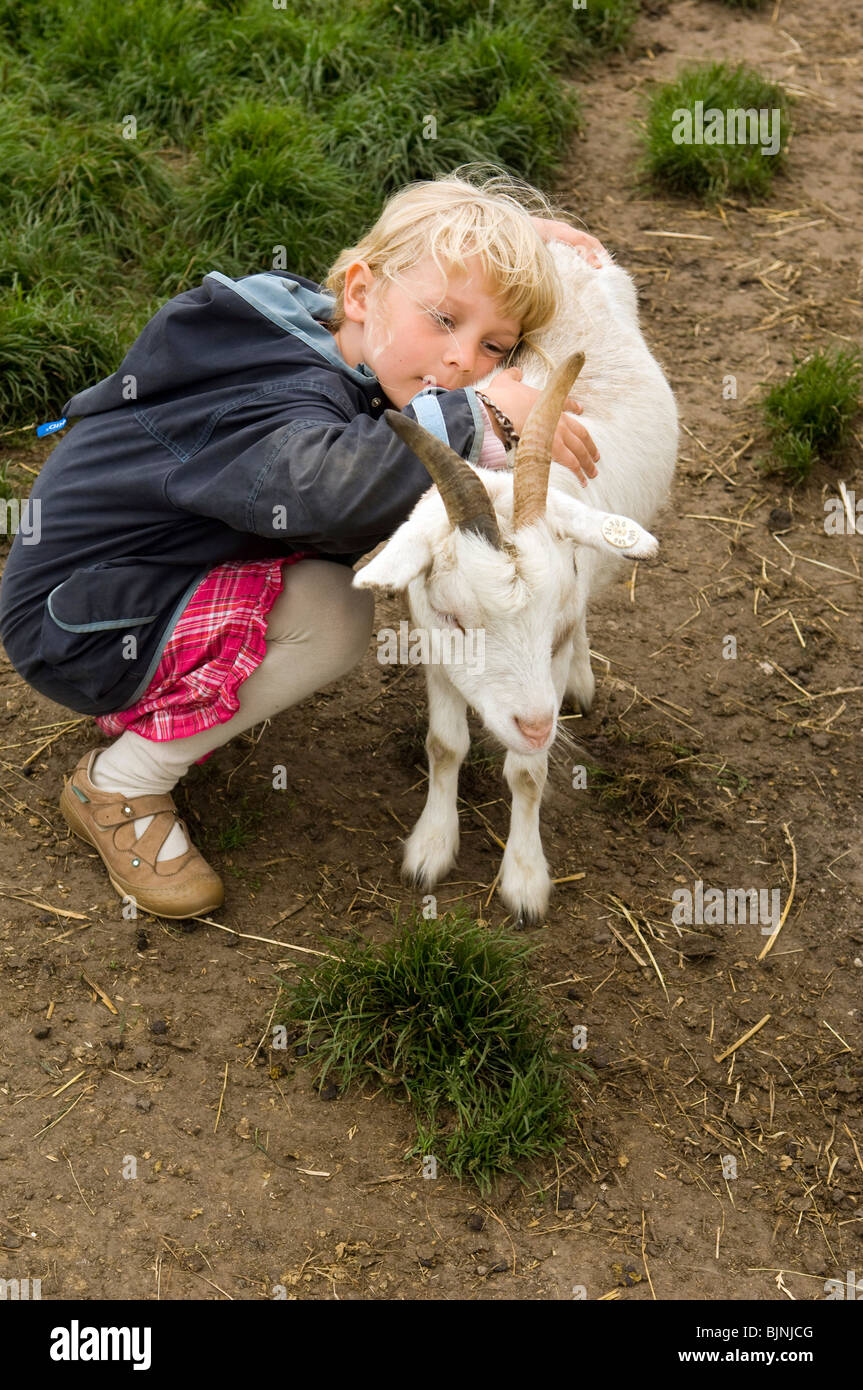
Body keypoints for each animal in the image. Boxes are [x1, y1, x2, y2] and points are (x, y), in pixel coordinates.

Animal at [354, 240, 678, 926]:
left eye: (547, 625)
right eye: (455, 619)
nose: (534, 724)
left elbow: (527, 775)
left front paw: (525, 881)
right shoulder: (435, 649)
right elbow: (444, 744)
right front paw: (430, 847)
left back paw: (581, 680)